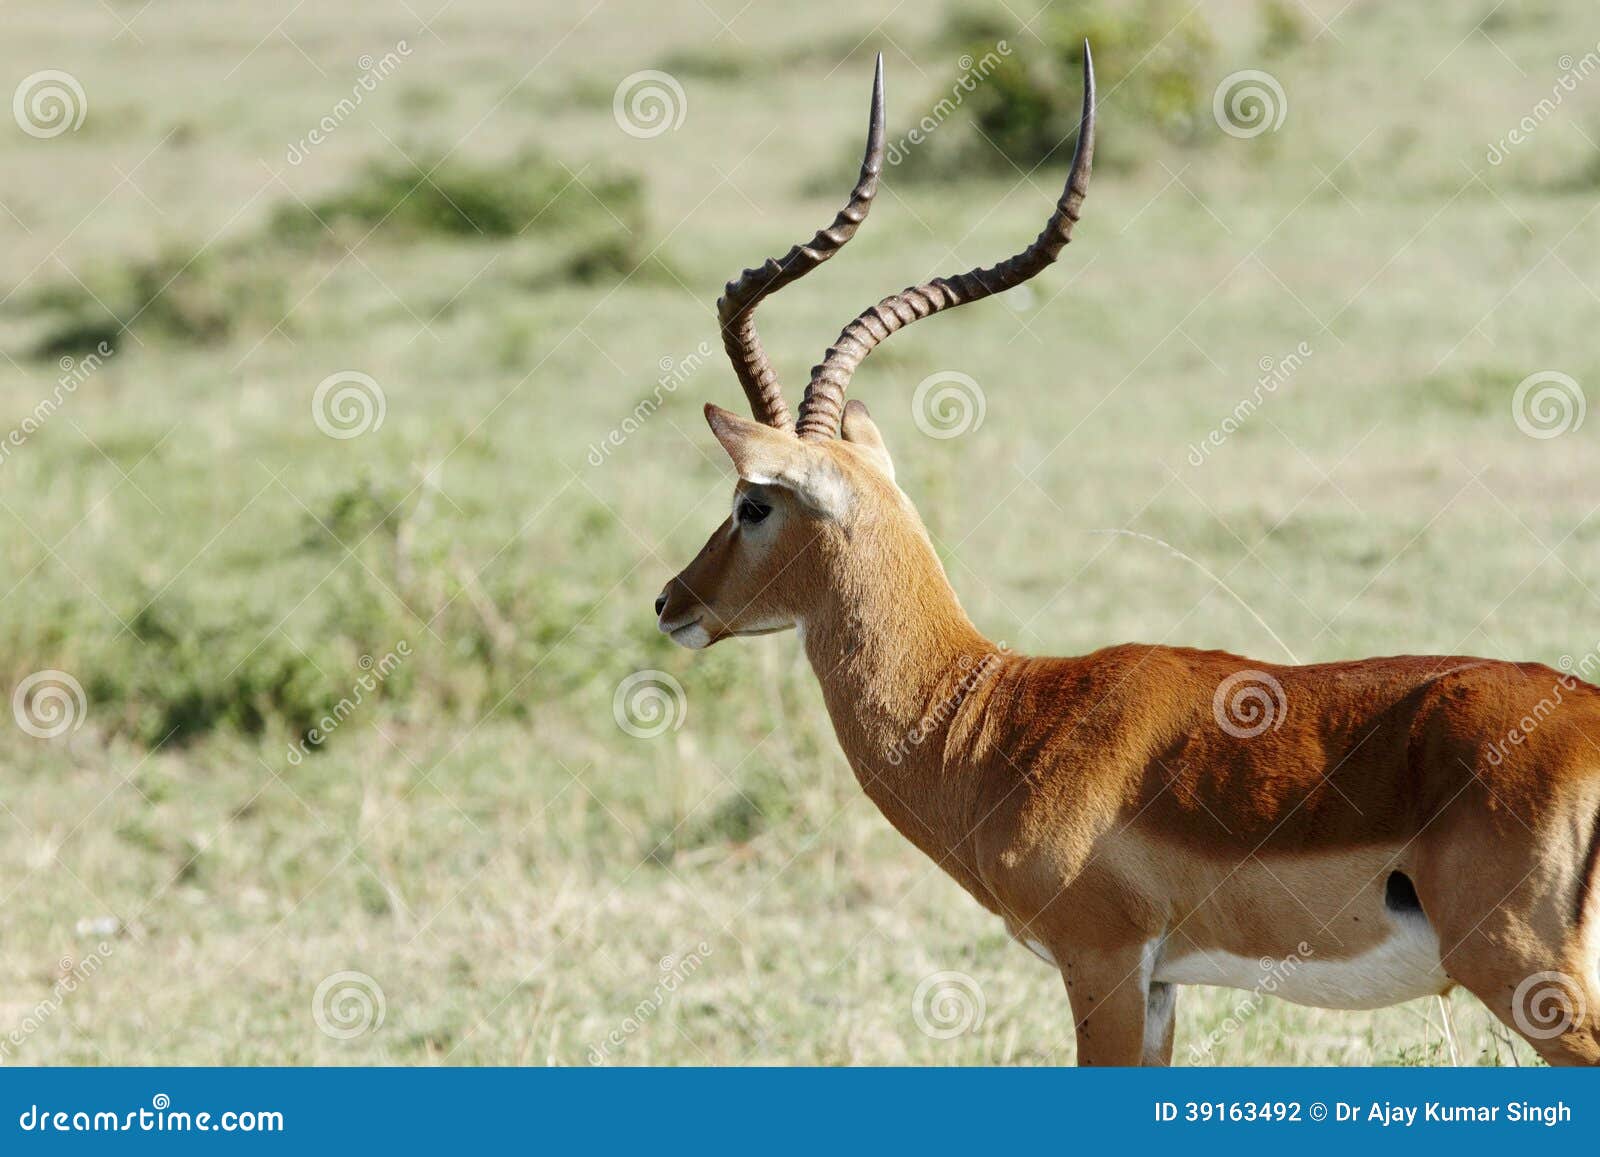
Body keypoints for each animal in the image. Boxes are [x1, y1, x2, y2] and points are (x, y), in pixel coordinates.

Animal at [653, 47, 1600, 1066]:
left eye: (752, 502)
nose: (671, 602)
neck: (990, 718)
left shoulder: (1102, 959)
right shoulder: (1160, 985)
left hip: (1533, 980)